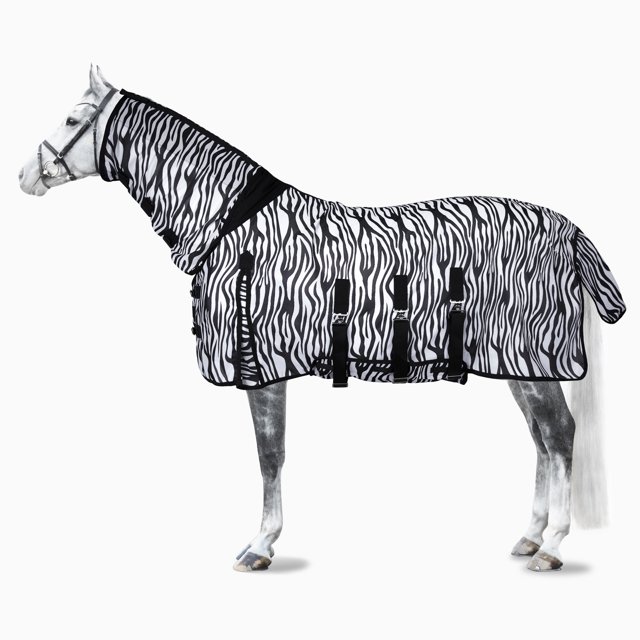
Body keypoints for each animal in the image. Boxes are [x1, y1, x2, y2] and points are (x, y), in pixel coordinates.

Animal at [18, 64, 626, 572]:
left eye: (72, 119)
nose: (25, 175)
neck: (234, 226)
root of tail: (569, 230)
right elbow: (273, 454)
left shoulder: (261, 368)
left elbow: (269, 454)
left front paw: (260, 546)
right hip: (515, 364)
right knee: (541, 439)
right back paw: (529, 536)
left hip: (534, 360)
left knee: (559, 434)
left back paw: (551, 546)